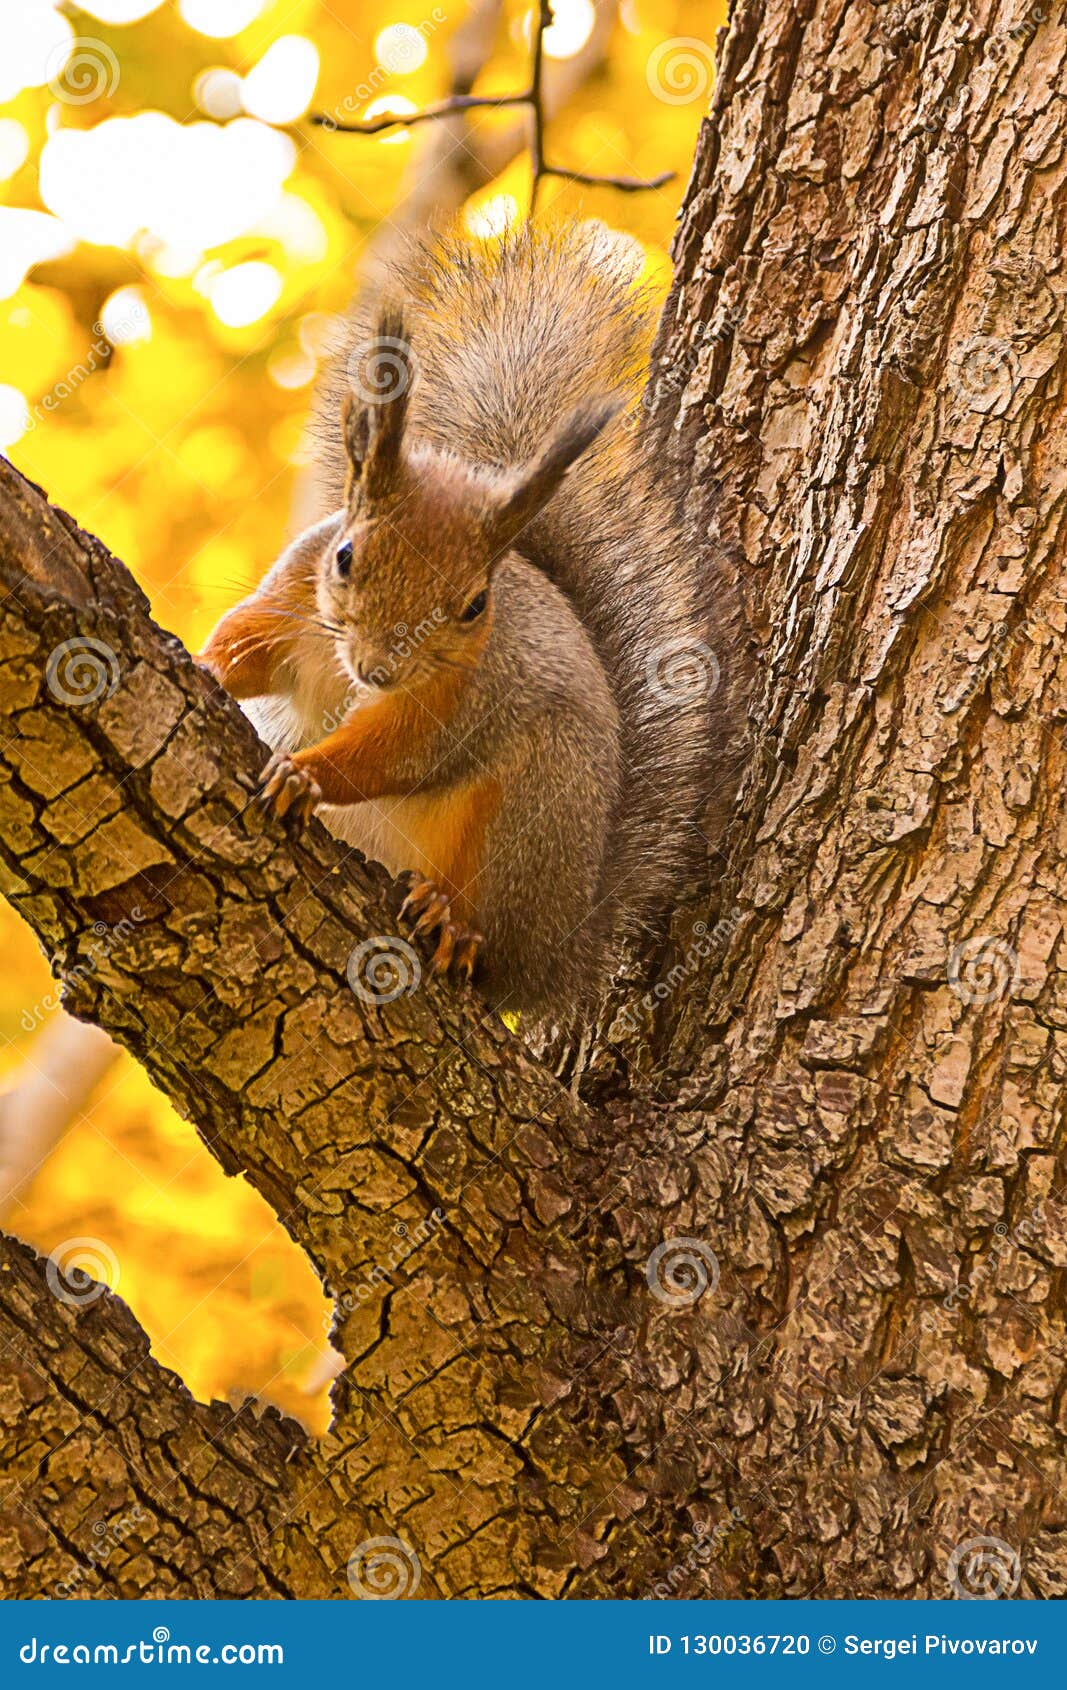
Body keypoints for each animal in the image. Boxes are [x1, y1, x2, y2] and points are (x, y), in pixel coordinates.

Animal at [200, 223, 709, 1029]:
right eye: (344, 554)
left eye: (474, 605)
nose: (378, 669)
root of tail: (555, 957)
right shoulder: (289, 596)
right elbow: (247, 647)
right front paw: (208, 665)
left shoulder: (458, 697)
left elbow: (394, 753)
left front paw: (306, 776)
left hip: (536, 810)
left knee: (486, 931)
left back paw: (450, 922)